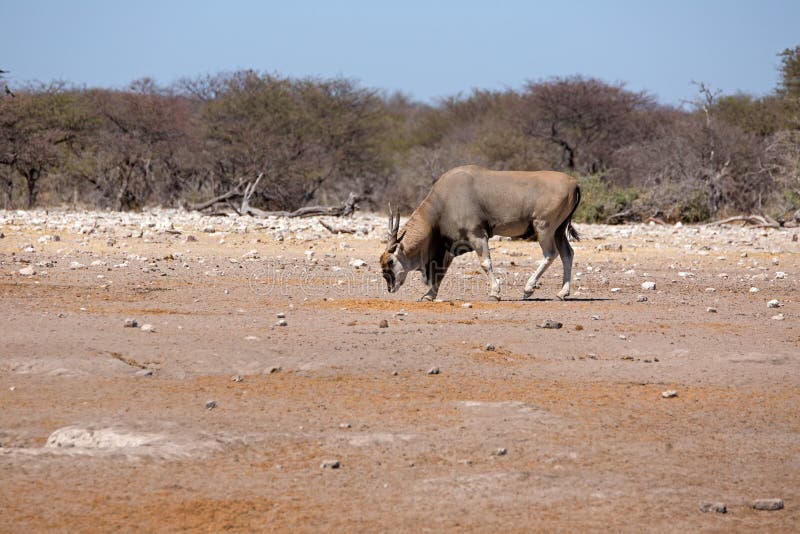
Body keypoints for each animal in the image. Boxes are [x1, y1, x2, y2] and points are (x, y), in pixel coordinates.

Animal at [380, 165, 581, 301]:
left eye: (391, 261)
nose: (390, 287)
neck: (443, 201)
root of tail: (574, 183)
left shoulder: (477, 235)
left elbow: (485, 263)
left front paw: (495, 292)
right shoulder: (451, 245)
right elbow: (442, 271)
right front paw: (429, 295)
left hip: (544, 228)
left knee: (550, 254)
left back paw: (528, 288)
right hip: (559, 231)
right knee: (567, 254)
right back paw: (563, 292)